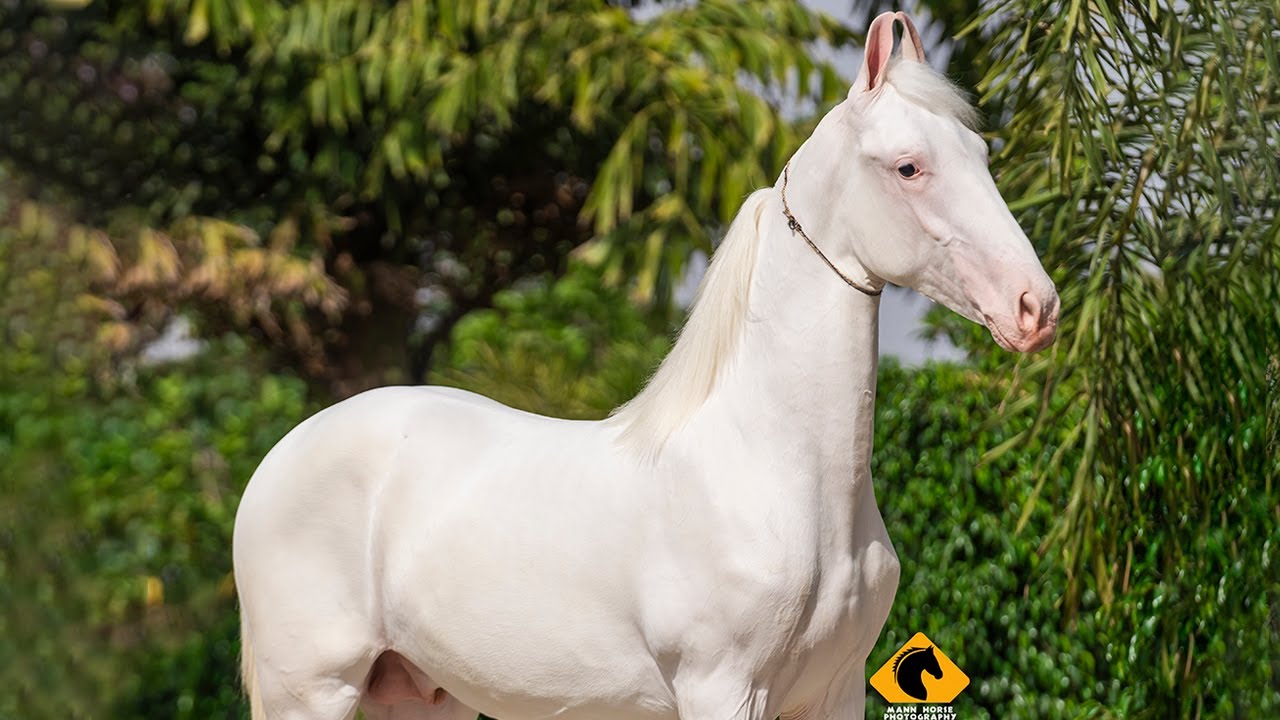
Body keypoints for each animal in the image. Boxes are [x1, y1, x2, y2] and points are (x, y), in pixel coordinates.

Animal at [233, 11, 1059, 720]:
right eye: (909, 167)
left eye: (982, 157)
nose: (1035, 308)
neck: (773, 470)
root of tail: (279, 460)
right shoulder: (721, 689)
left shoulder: (835, 691)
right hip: (312, 691)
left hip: (416, 694)